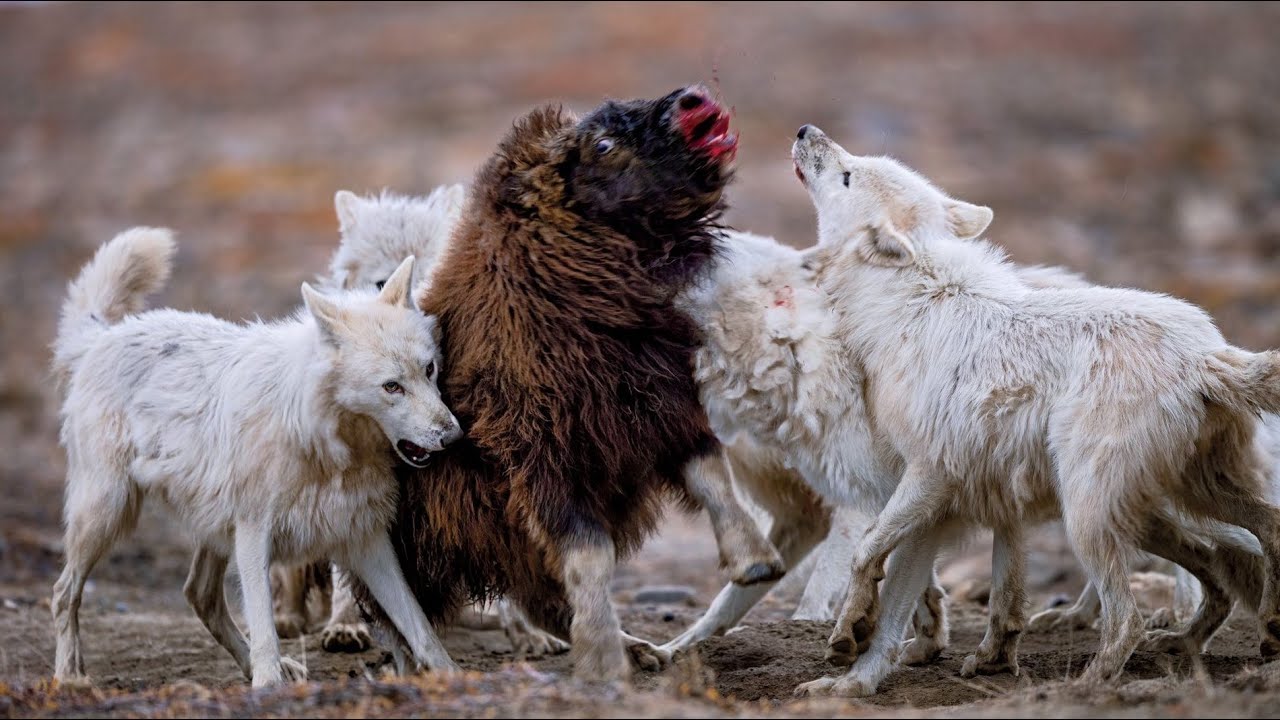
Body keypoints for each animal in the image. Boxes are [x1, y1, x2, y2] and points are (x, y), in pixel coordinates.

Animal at [51, 231, 461, 686]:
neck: (327, 447)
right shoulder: (254, 532)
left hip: (209, 528)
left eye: (429, 370)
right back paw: (68, 676)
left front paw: (453, 676)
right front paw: (268, 686)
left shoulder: (365, 539)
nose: (453, 435)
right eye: (392, 386)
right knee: (64, 592)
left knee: (199, 595)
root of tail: (103, 337)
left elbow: (418, 625)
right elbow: (265, 627)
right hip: (106, 514)